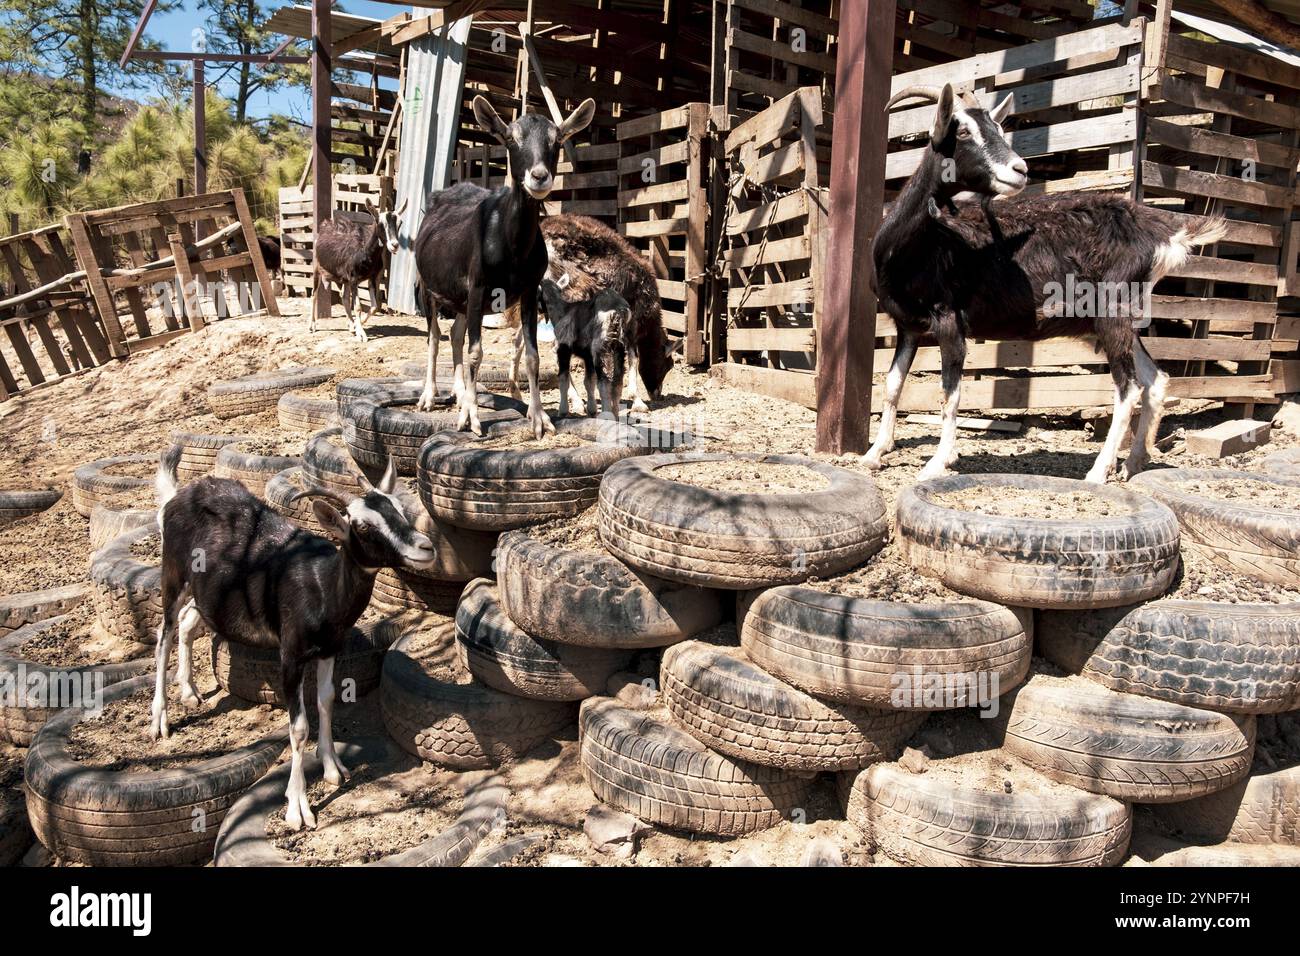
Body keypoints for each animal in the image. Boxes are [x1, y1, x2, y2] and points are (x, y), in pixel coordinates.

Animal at [150, 446, 435, 830]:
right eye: (363, 525)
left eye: (400, 511)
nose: (425, 547)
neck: (322, 584)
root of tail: (178, 496)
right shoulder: (290, 655)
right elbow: (298, 728)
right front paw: (298, 807)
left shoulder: (330, 648)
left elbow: (327, 699)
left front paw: (332, 766)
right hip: (173, 575)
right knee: (163, 633)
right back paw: (160, 719)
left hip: (209, 595)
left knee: (187, 621)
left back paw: (189, 690)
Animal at [310, 197, 407, 342]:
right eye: (380, 223)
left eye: (399, 223)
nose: (394, 245)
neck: (365, 251)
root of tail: (325, 226)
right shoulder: (354, 279)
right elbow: (358, 307)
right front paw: (361, 334)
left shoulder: (372, 278)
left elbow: (374, 306)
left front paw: (358, 326)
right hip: (317, 269)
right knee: (314, 294)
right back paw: (312, 326)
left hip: (344, 280)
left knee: (344, 298)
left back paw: (351, 325)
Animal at [413, 96, 596, 437]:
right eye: (511, 139)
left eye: (557, 141)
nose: (539, 176)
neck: (510, 245)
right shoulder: (478, 286)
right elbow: (476, 353)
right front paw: (471, 419)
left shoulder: (528, 291)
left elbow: (532, 356)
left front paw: (539, 418)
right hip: (430, 288)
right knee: (433, 339)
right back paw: (429, 397)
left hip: (462, 300)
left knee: (455, 334)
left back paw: (459, 392)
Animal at [538, 274, 632, 418]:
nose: (538, 310)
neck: (561, 312)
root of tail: (618, 311)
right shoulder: (587, 356)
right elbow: (589, 382)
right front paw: (591, 410)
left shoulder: (563, 349)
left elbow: (563, 379)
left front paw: (563, 411)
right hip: (620, 347)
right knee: (617, 382)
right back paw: (615, 416)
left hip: (600, 347)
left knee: (604, 382)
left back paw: (606, 415)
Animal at [867, 83, 1226, 483]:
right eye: (963, 132)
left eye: (998, 128)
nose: (1020, 169)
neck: (919, 244)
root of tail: (1161, 233)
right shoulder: (907, 326)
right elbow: (891, 385)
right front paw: (874, 453)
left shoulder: (949, 320)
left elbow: (949, 393)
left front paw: (937, 463)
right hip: (1117, 321)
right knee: (1155, 379)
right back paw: (1132, 463)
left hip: (1112, 311)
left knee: (1129, 388)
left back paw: (1099, 471)